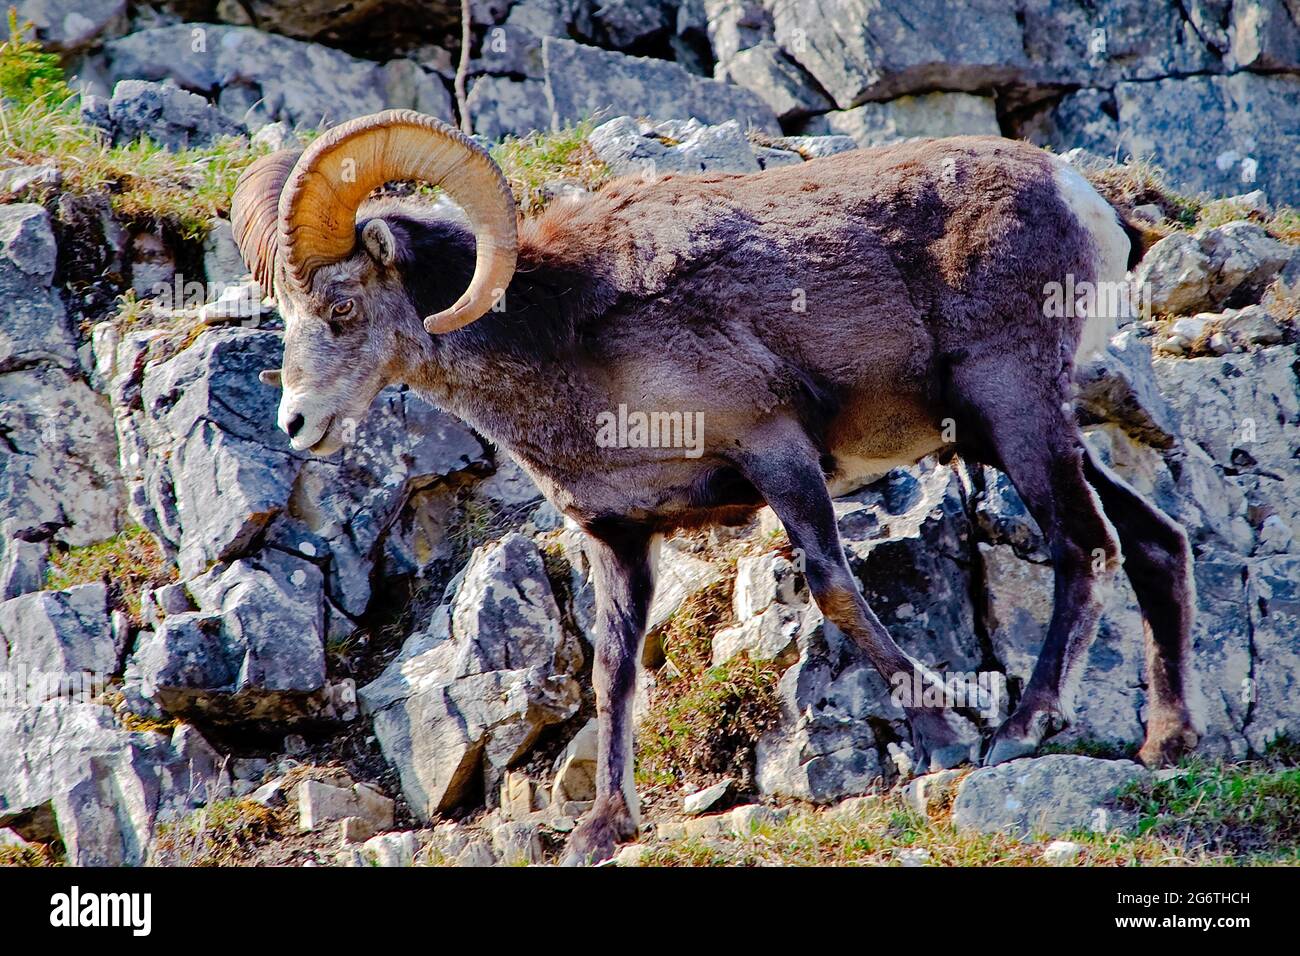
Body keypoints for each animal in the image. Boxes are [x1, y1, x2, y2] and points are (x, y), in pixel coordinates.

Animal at [231, 109, 1200, 865]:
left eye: (342, 310)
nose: (296, 424)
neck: (568, 342)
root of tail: (1083, 201)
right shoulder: (619, 538)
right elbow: (615, 669)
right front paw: (602, 830)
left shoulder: (776, 453)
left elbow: (834, 590)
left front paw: (942, 735)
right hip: (1010, 431)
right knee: (1155, 542)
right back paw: (1167, 742)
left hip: (1016, 406)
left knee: (1088, 547)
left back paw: (1017, 734)